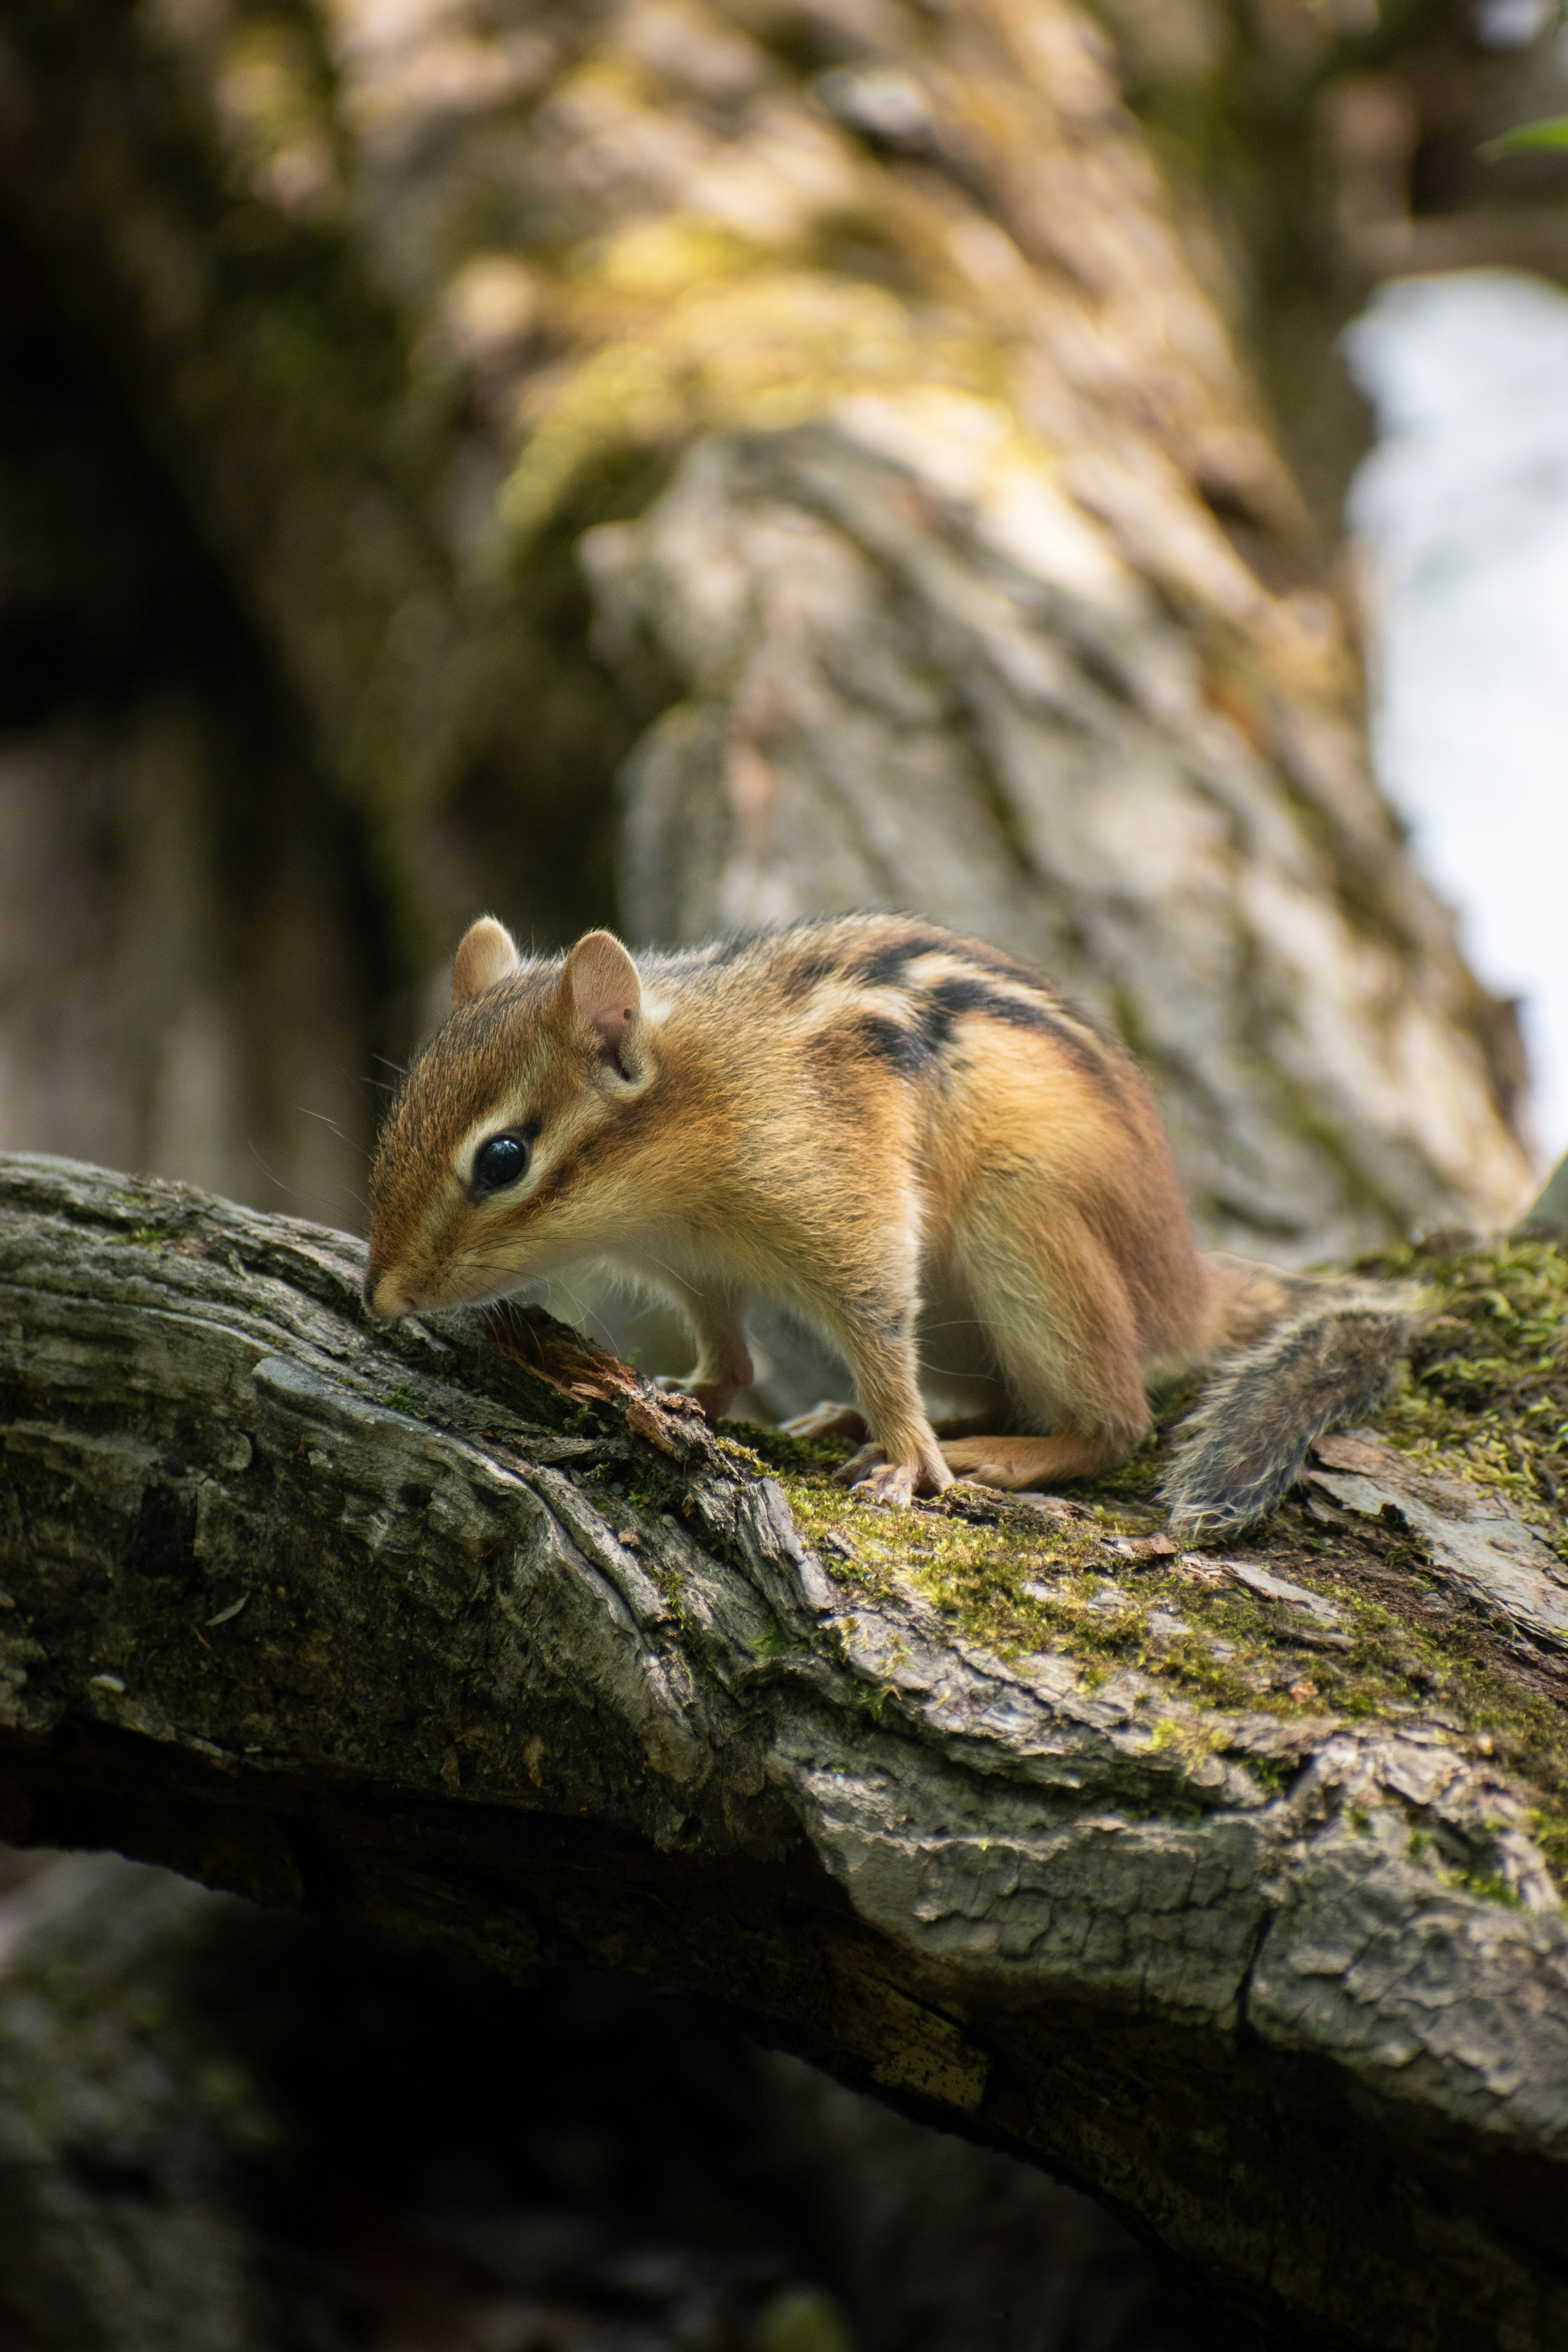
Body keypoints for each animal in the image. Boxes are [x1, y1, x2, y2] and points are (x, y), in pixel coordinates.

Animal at [363, 911, 1417, 1535]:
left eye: (503, 1159)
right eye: (400, 1108)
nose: (380, 1296)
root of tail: (1185, 1286)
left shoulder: (844, 1202)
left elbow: (873, 1317)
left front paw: (908, 1456)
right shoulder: (695, 1266)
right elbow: (729, 1354)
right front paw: (690, 1395)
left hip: (1026, 1236)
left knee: (1115, 1422)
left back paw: (993, 1452)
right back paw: (857, 1418)